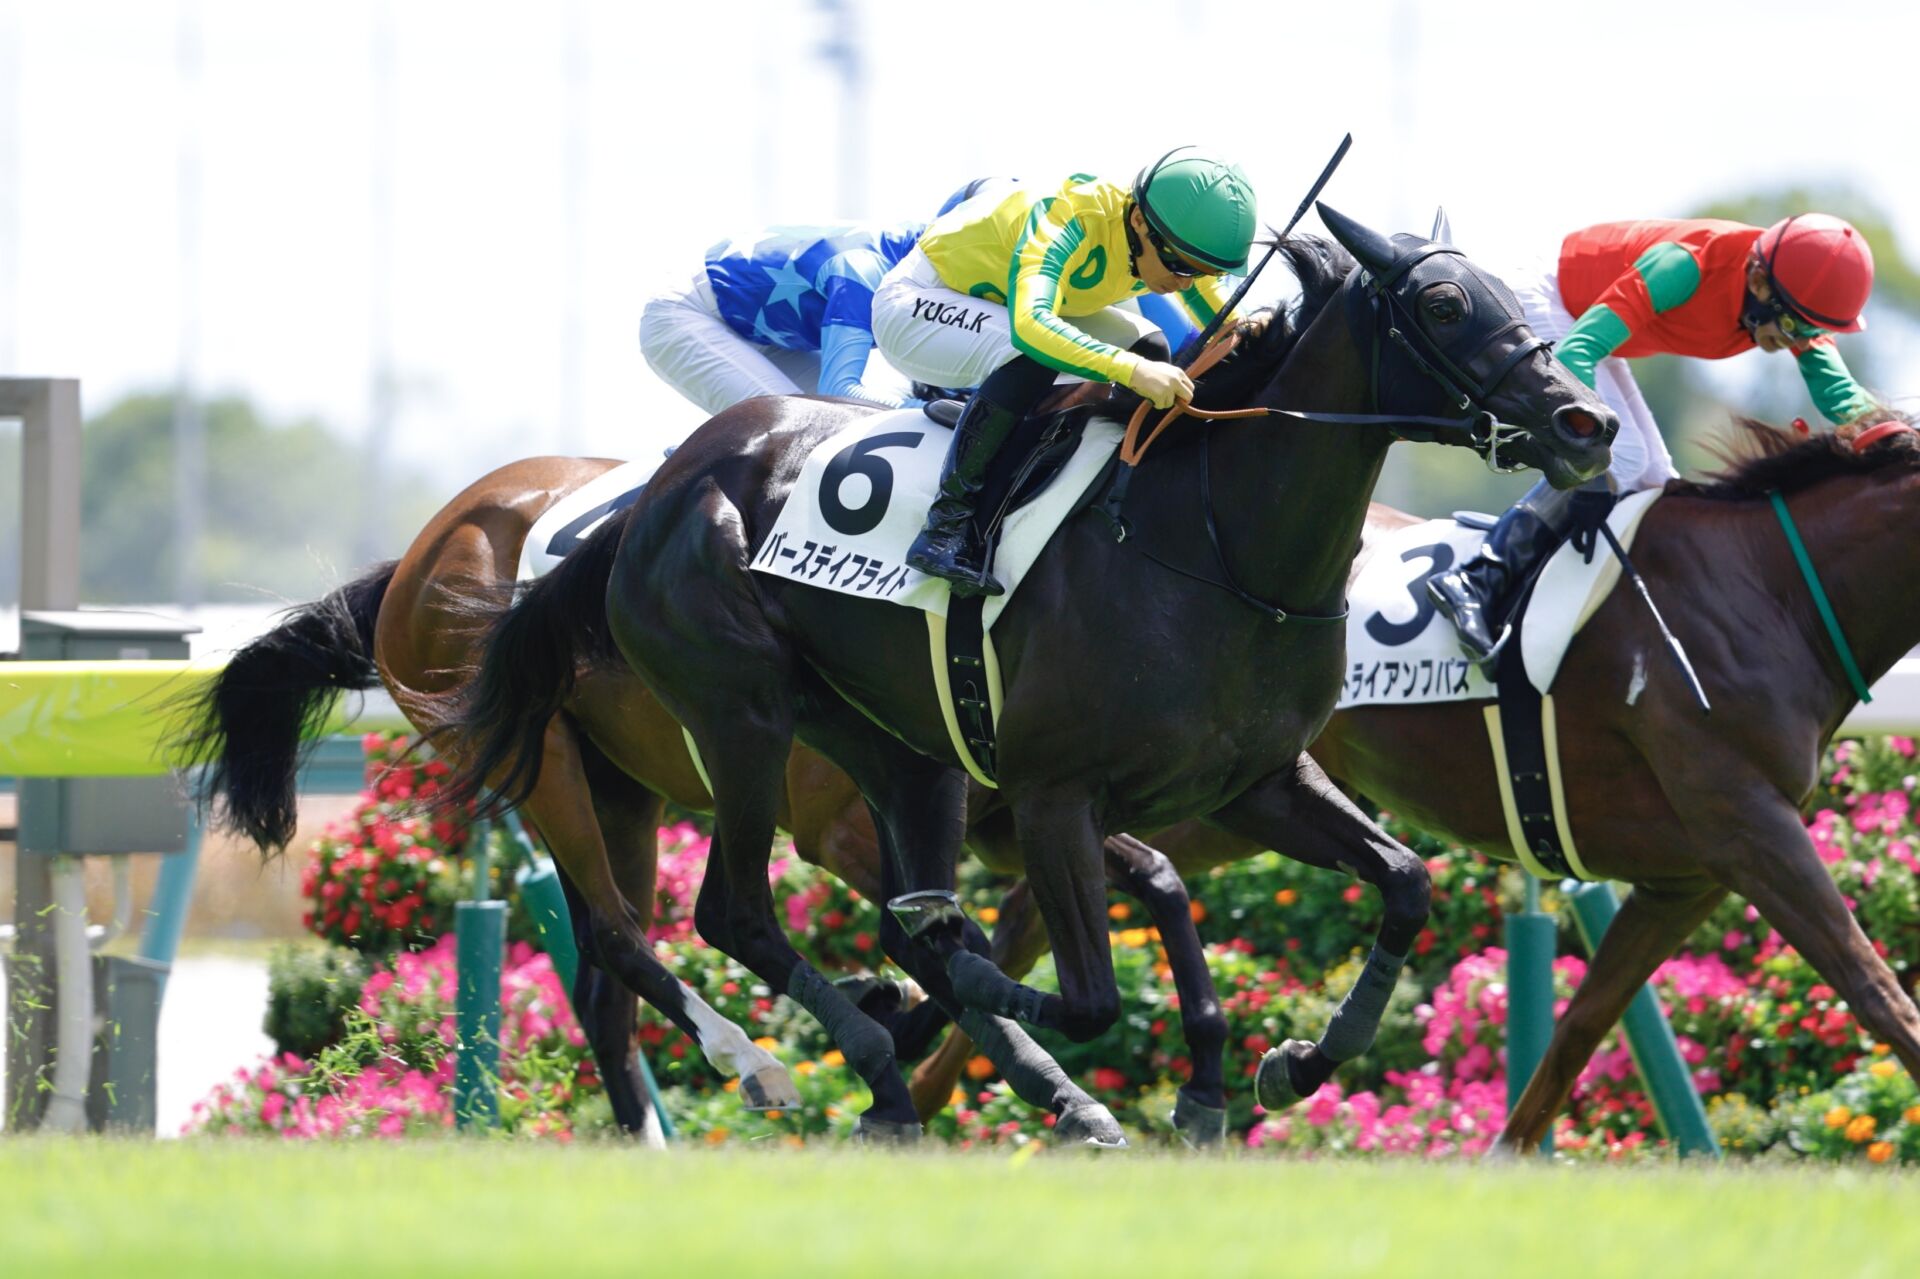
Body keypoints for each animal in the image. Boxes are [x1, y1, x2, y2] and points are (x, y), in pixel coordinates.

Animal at [436, 207, 1616, 1142]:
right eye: (1446, 303)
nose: (1585, 419)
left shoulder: (1258, 780)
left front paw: (1286, 1065)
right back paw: (849, 1059)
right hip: (740, 716)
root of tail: (651, 494)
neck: (1215, 543)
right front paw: (973, 1008)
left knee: (848, 896)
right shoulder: (1056, 797)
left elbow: (1404, 882)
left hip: (887, 743)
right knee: (731, 914)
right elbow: (1089, 998)